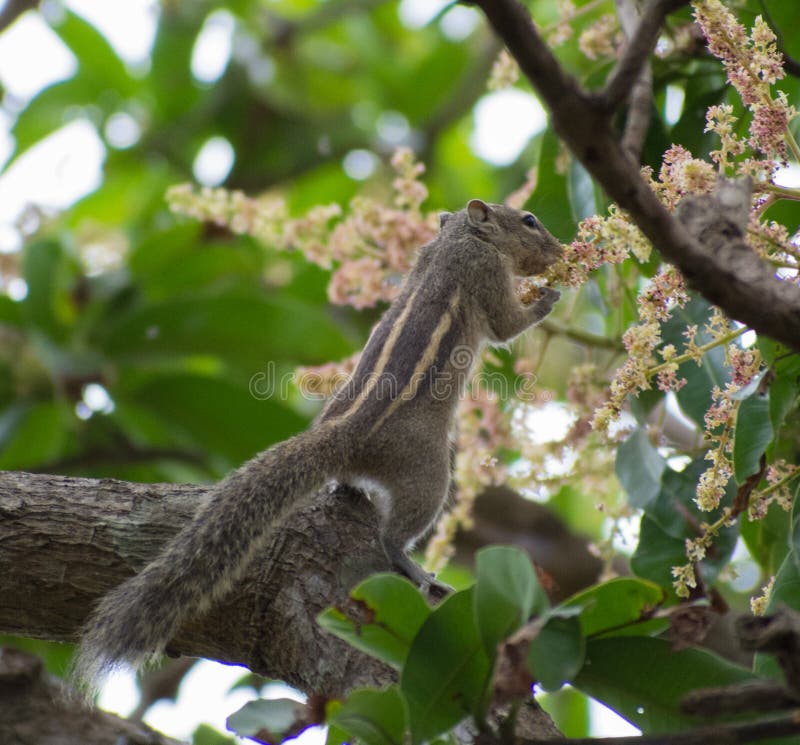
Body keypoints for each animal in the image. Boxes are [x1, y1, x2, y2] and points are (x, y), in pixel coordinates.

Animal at [73, 198, 562, 691]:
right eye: (529, 221)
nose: (561, 251)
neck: (457, 239)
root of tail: (344, 434)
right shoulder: (484, 273)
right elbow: (506, 326)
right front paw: (548, 297)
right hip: (429, 473)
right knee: (392, 536)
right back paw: (414, 568)